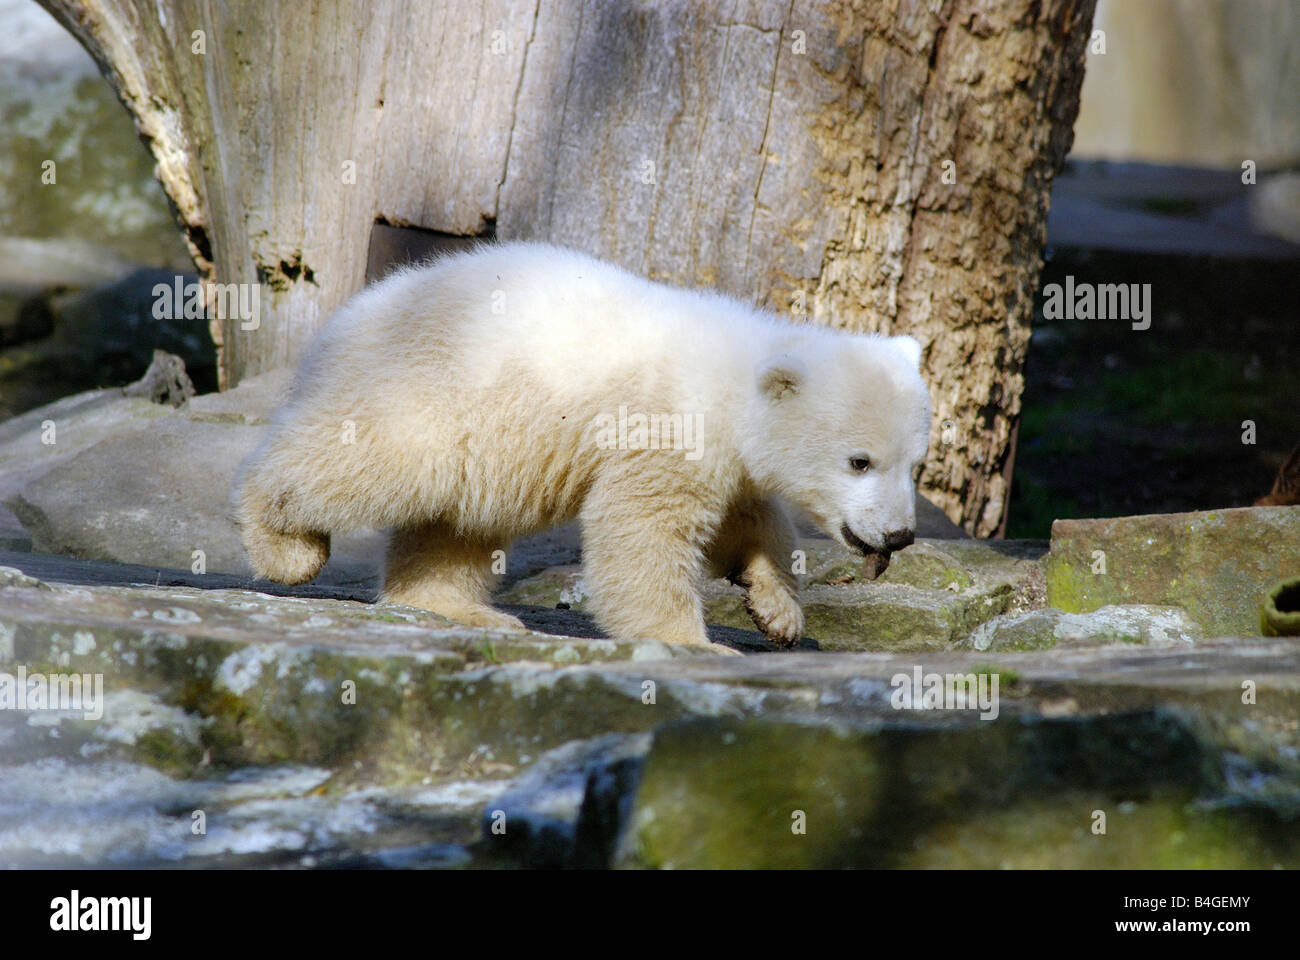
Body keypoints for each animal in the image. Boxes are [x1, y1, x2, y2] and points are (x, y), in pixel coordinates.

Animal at [233, 242, 931, 653]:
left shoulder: (725, 452)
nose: (898, 536)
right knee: (382, 465)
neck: (733, 373)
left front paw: (777, 608)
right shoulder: (665, 421)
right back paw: (284, 546)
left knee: (458, 520)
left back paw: (458, 608)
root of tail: (347, 320)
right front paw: (694, 641)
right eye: (859, 460)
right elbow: (641, 526)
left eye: (914, 463)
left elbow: (748, 517)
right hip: (431, 389)